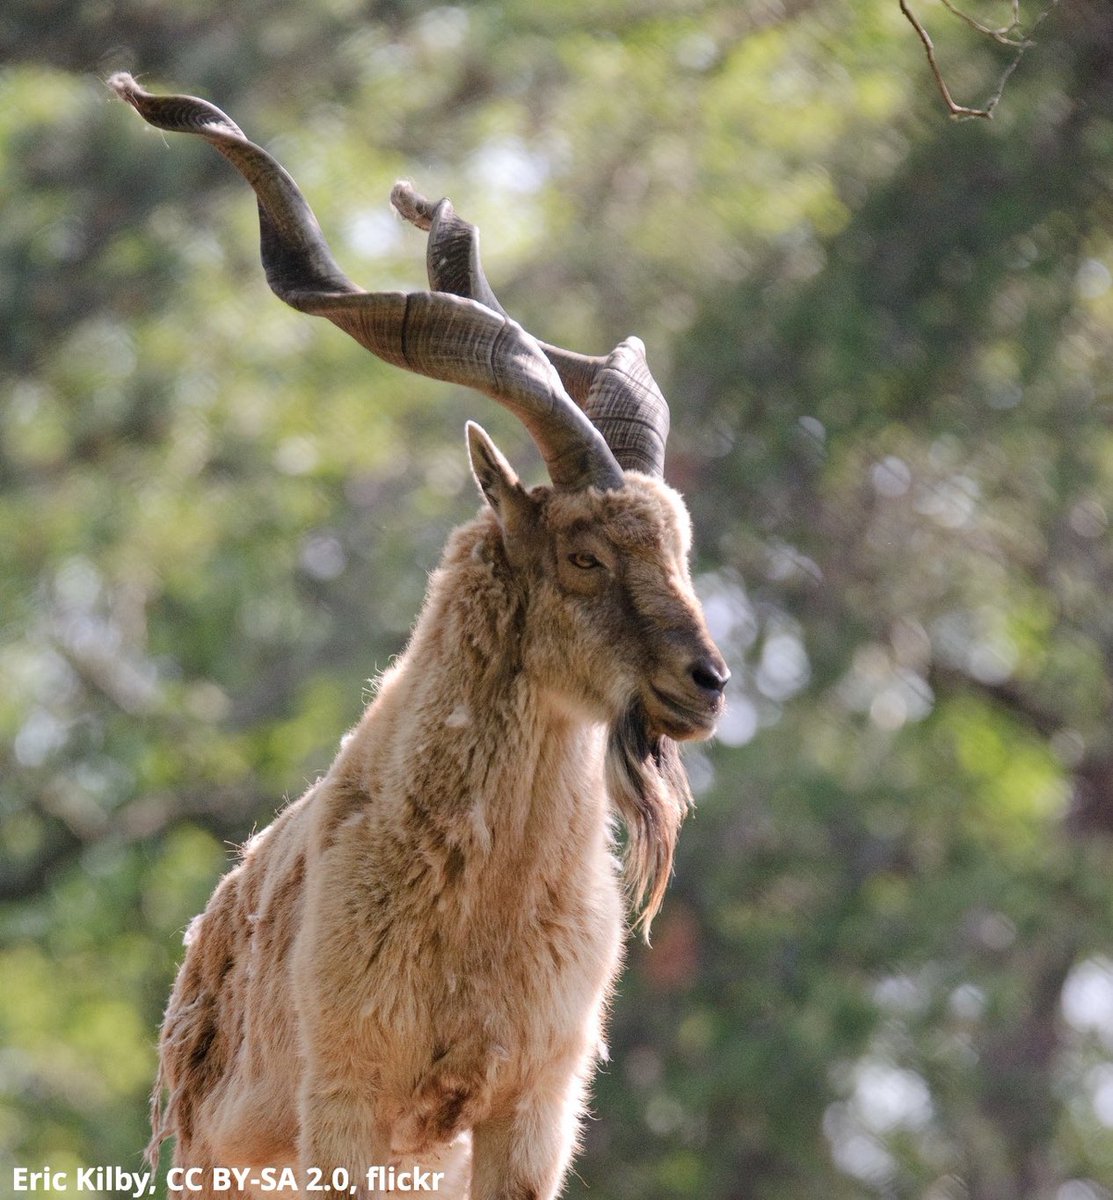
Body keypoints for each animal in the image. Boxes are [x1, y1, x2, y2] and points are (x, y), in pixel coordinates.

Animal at [111, 75, 728, 1200]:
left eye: (680, 546)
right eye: (582, 555)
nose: (705, 681)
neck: (482, 917)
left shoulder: (531, 1109)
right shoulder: (347, 1100)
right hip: (219, 1161)